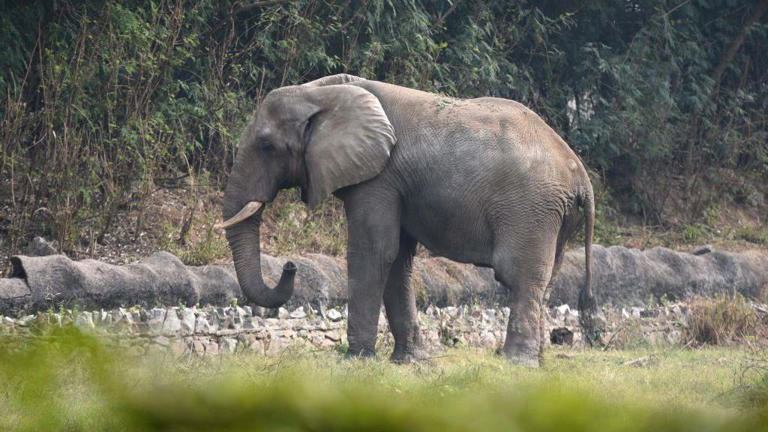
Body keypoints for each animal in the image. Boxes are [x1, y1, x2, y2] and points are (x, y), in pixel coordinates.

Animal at [216, 73, 598, 367]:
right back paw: (537, 362)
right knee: (546, 281)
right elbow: (397, 258)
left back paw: (515, 364)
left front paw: (356, 360)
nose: (291, 266)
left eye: (267, 146)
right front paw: (410, 362)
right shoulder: (394, 182)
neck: (323, 90)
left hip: (531, 209)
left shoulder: (379, 178)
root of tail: (580, 172)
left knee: (519, 276)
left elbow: (374, 251)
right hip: (553, 215)